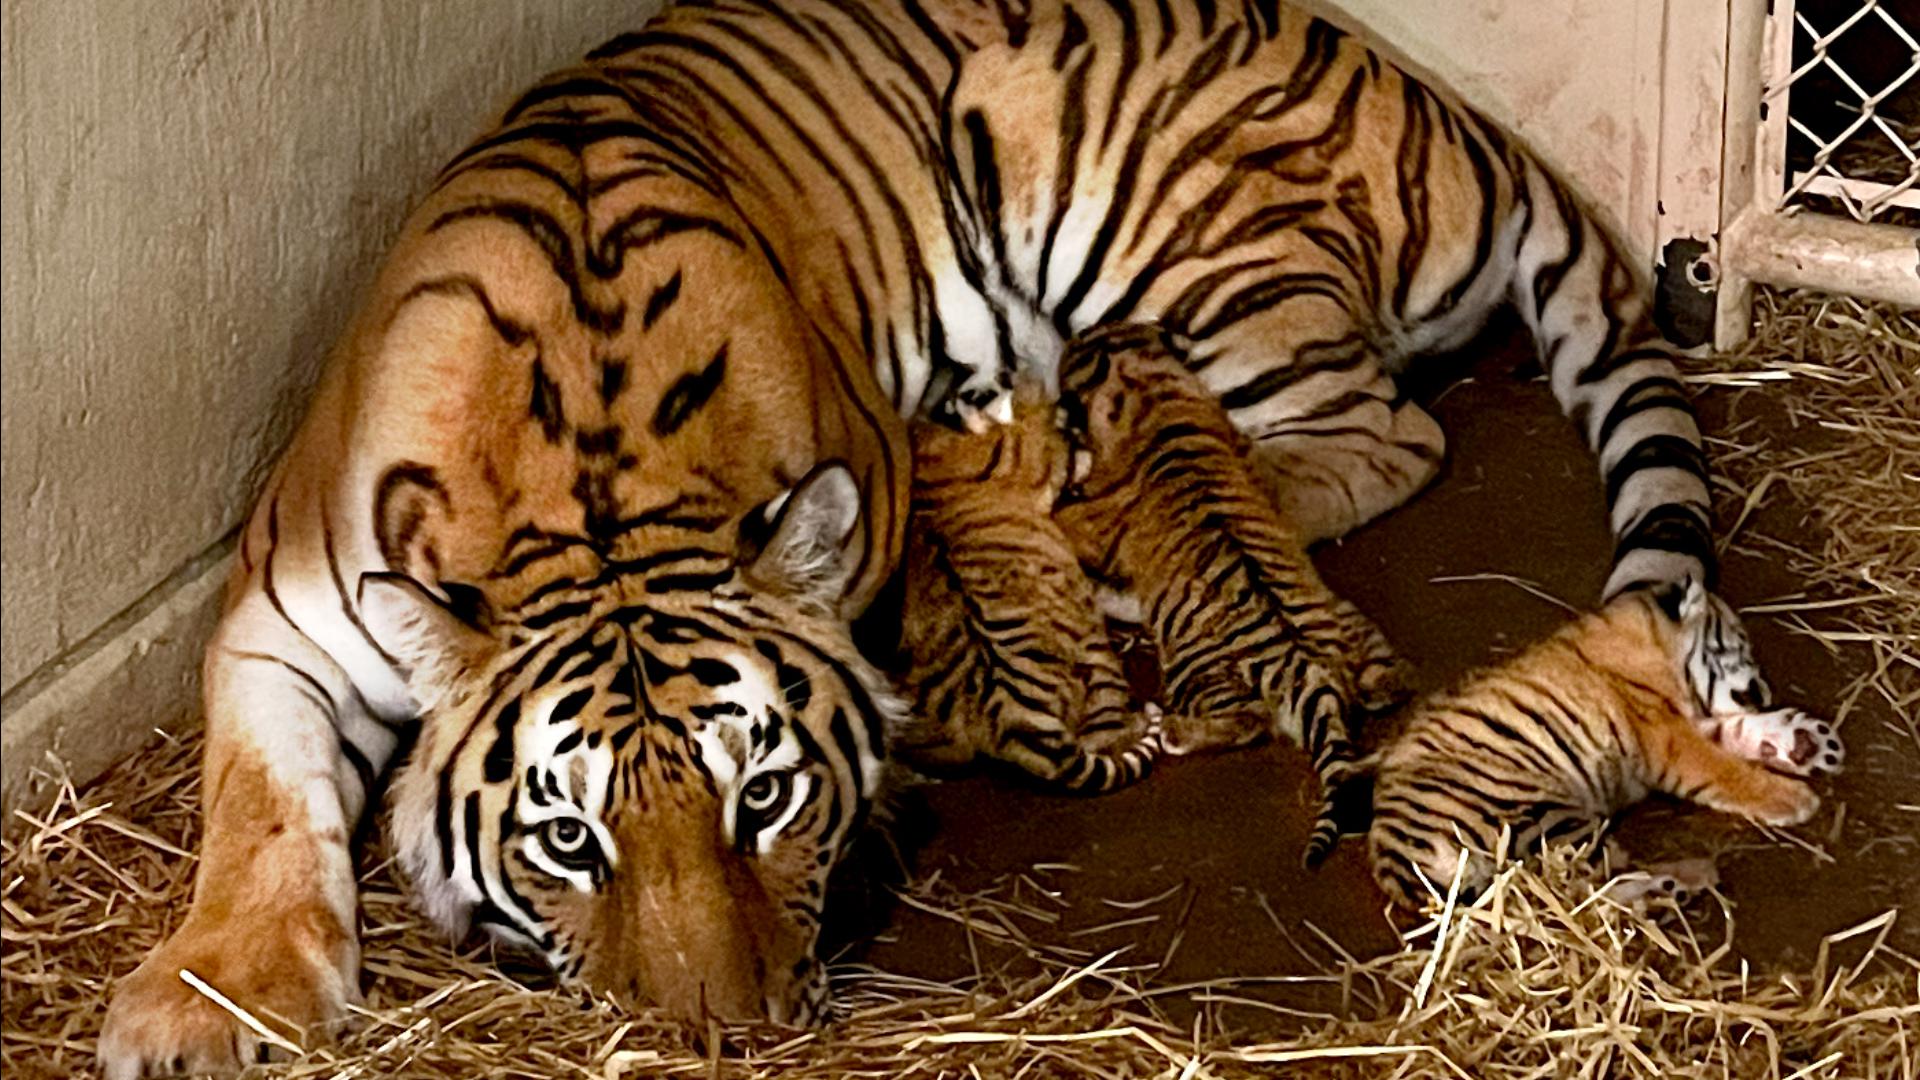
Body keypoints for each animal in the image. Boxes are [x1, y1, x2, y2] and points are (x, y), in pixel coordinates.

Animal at [1054, 322, 1411, 866]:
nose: (1078, 331)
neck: (1142, 385)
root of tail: (1310, 672)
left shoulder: (1097, 518)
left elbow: (1073, 521)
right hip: (1348, 620)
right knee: (1382, 683)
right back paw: (1381, 684)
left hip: (1191, 673)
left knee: (1249, 720)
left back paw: (1174, 731)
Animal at [1367, 578, 1844, 911]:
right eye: (1740, 645)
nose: (1763, 690)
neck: (1653, 639)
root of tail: (1391, 863)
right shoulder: (1666, 733)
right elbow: (1724, 769)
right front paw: (1795, 799)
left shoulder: (1681, 722)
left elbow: (1735, 732)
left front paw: (1803, 743)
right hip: (1532, 810)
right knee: (1591, 886)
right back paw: (1690, 877)